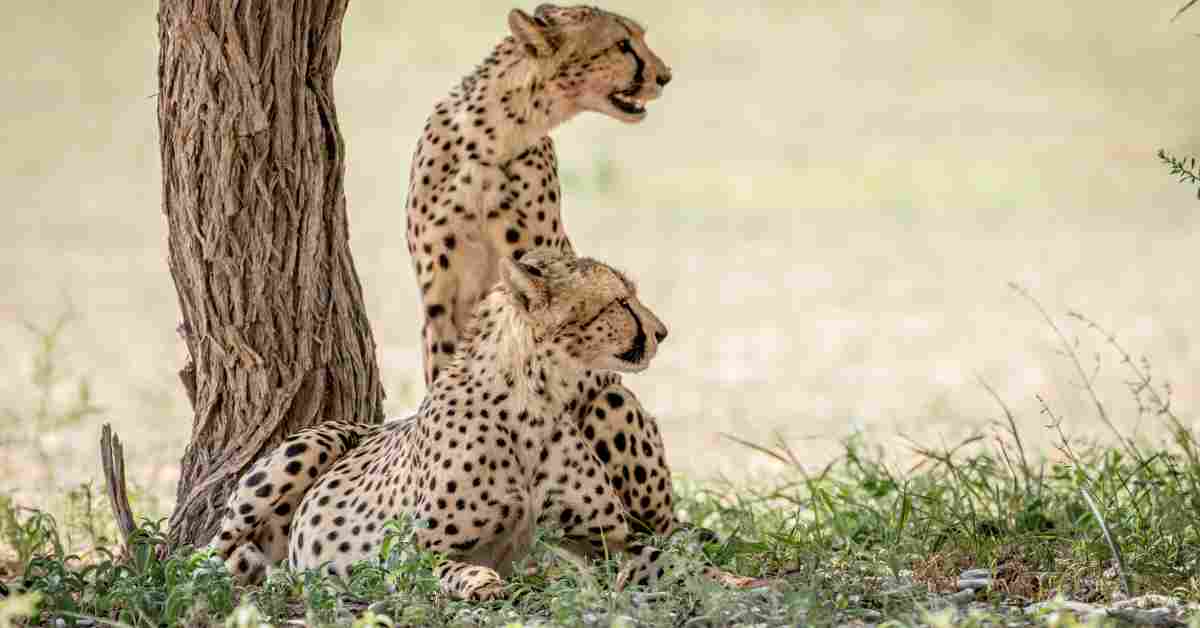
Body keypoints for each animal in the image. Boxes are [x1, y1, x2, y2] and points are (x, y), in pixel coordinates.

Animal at [212, 250, 761, 598]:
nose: (663, 332)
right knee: (214, 558)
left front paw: (733, 581)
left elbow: (672, 558)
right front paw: (481, 583)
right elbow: (456, 566)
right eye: (619, 302)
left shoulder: (608, 541)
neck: (537, 398)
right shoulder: (411, 551)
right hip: (308, 445)